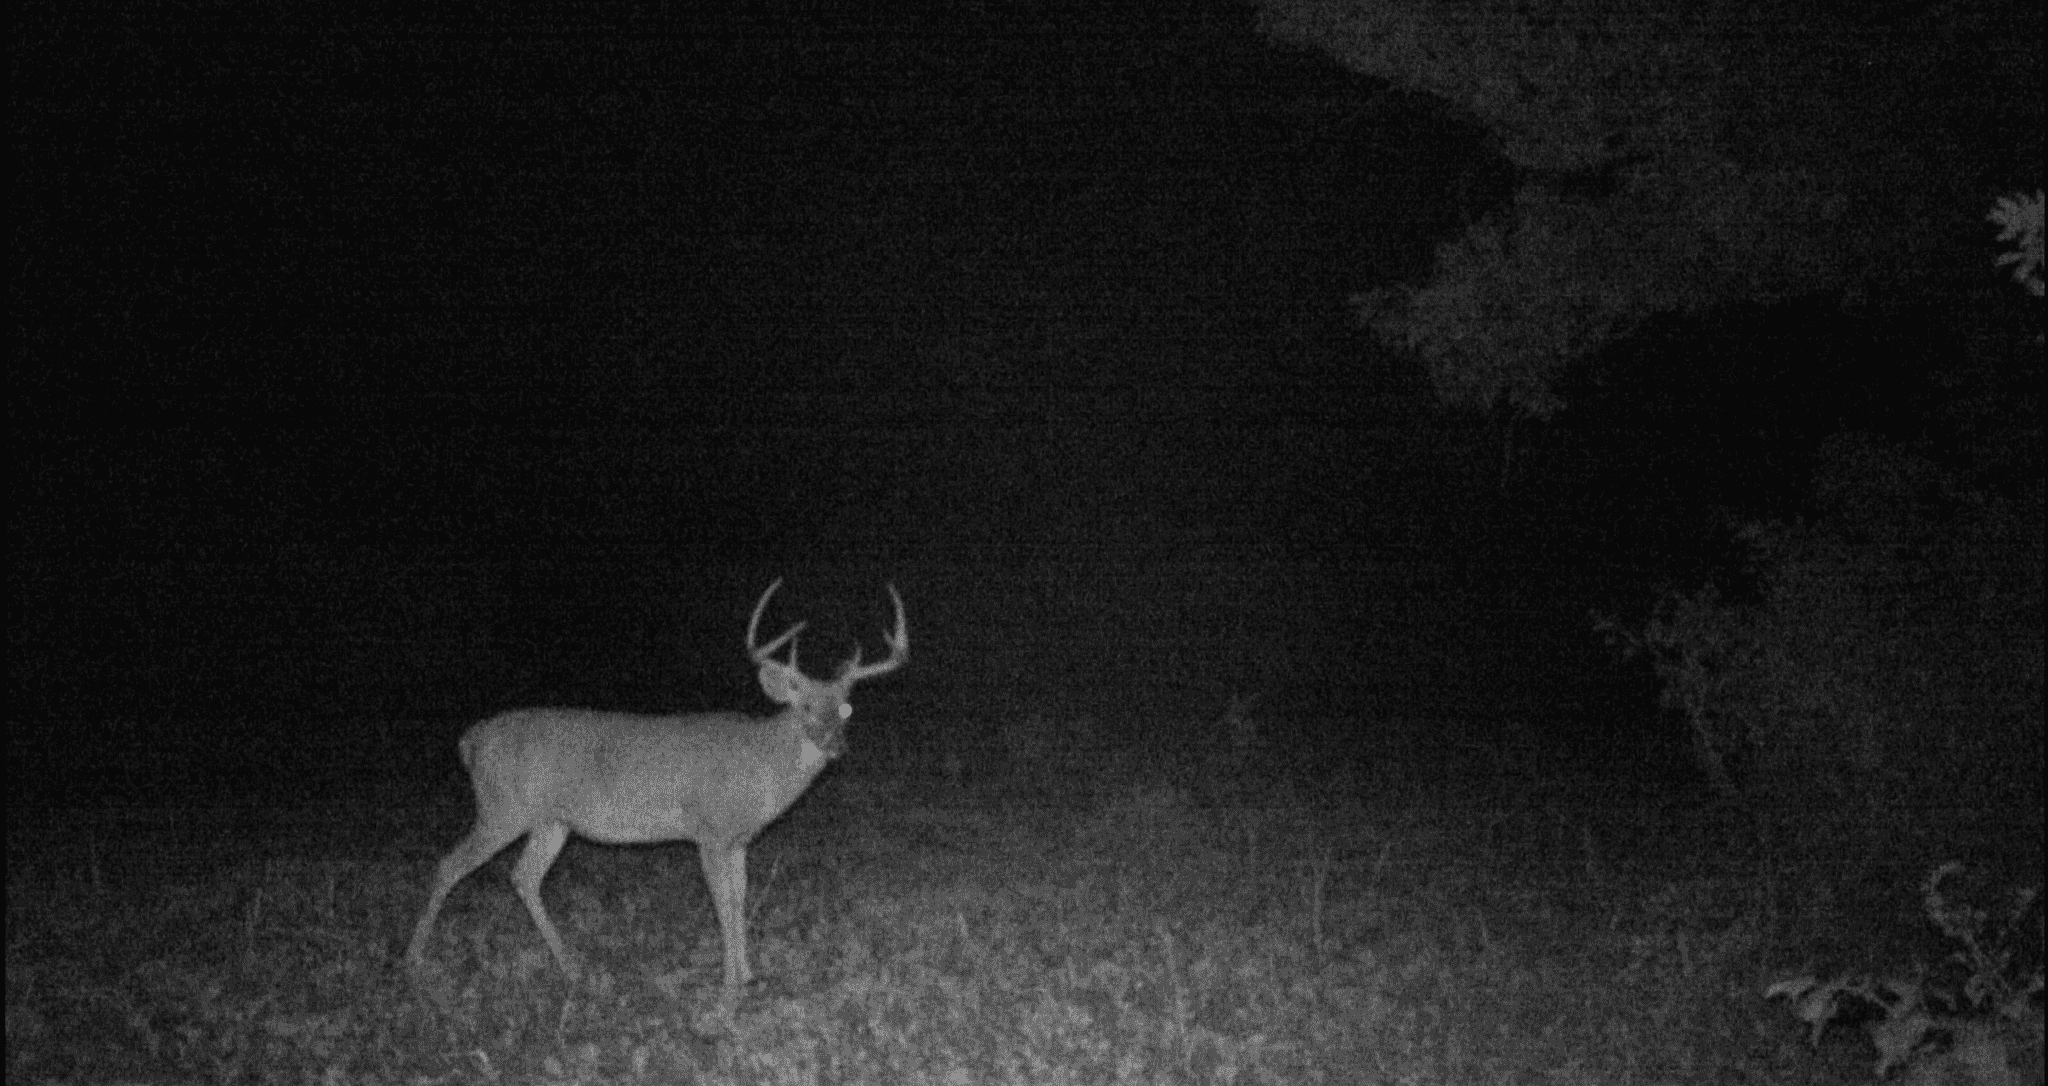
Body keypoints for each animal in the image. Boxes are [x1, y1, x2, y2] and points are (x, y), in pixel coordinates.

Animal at [405, 579, 908, 999]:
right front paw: (730, 987)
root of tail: (470, 741)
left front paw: (749, 975)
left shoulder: (740, 840)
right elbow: (723, 902)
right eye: (804, 707)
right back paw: (413, 961)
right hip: (501, 808)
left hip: (551, 822)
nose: (837, 746)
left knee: (523, 876)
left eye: (845, 708)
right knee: (449, 865)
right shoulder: (708, 830)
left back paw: (574, 969)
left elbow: (741, 897)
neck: (760, 767)